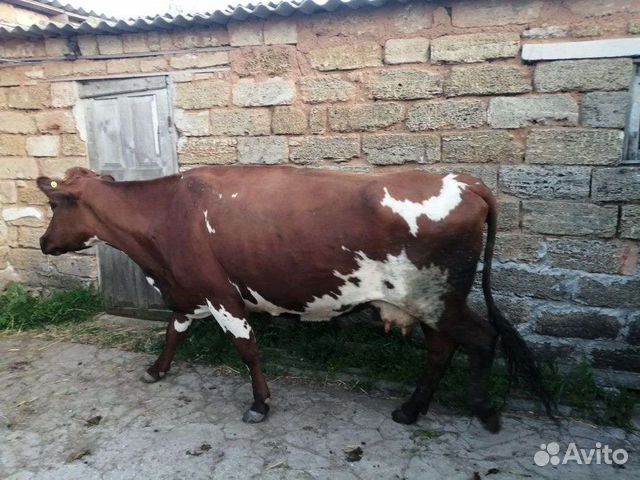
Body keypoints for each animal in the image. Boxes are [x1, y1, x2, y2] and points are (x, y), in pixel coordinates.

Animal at [37, 166, 553, 432]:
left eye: (55, 204)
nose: (43, 243)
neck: (164, 217)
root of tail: (466, 182)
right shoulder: (187, 290)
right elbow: (173, 331)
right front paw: (157, 370)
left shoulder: (221, 294)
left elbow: (247, 350)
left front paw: (260, 404)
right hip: (429, 301)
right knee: (441, 349)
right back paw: (411, 409)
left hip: (439, 298)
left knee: (480, 339)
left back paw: (483, 411)